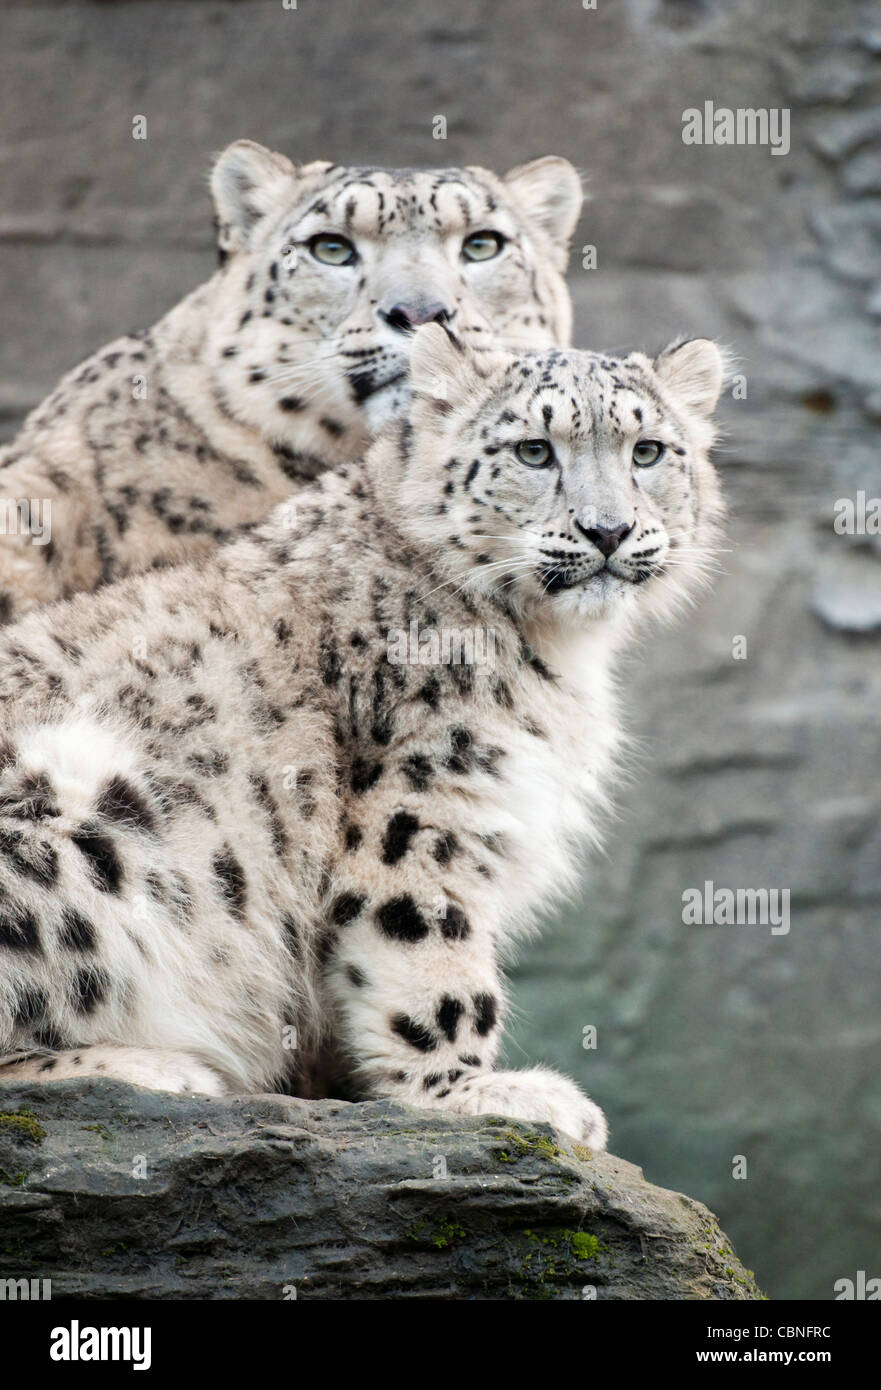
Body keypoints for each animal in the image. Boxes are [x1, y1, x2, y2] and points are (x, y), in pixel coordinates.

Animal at [0, 324, 726, 1145]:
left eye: (649, 451)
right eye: (534, 450)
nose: (608, 530)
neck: (559, 651)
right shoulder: (423, 798)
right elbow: (431, 952)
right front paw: (473, 1092)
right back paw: (159, 1070)